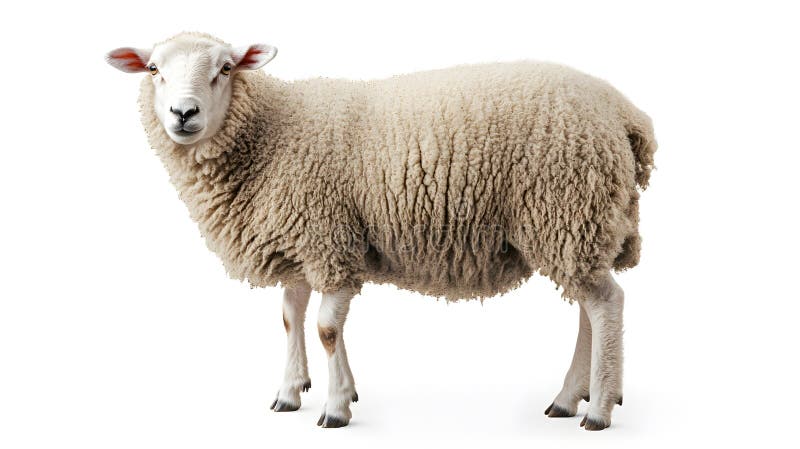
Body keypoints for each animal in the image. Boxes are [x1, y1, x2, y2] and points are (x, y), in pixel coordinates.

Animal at [106, 32, 656, 431]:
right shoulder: (299, 242)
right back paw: (573, 396)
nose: (183, 114)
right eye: (154, 70)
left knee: (606, 304)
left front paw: (335, 408)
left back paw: (596, 410)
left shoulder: (329, 240)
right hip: (576, 225)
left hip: (566, 209)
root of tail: (623, 113)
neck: (271, 135)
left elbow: (327, 329)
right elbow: (290, 318)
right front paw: (293, 392)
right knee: (588, 306)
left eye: (225, 69)